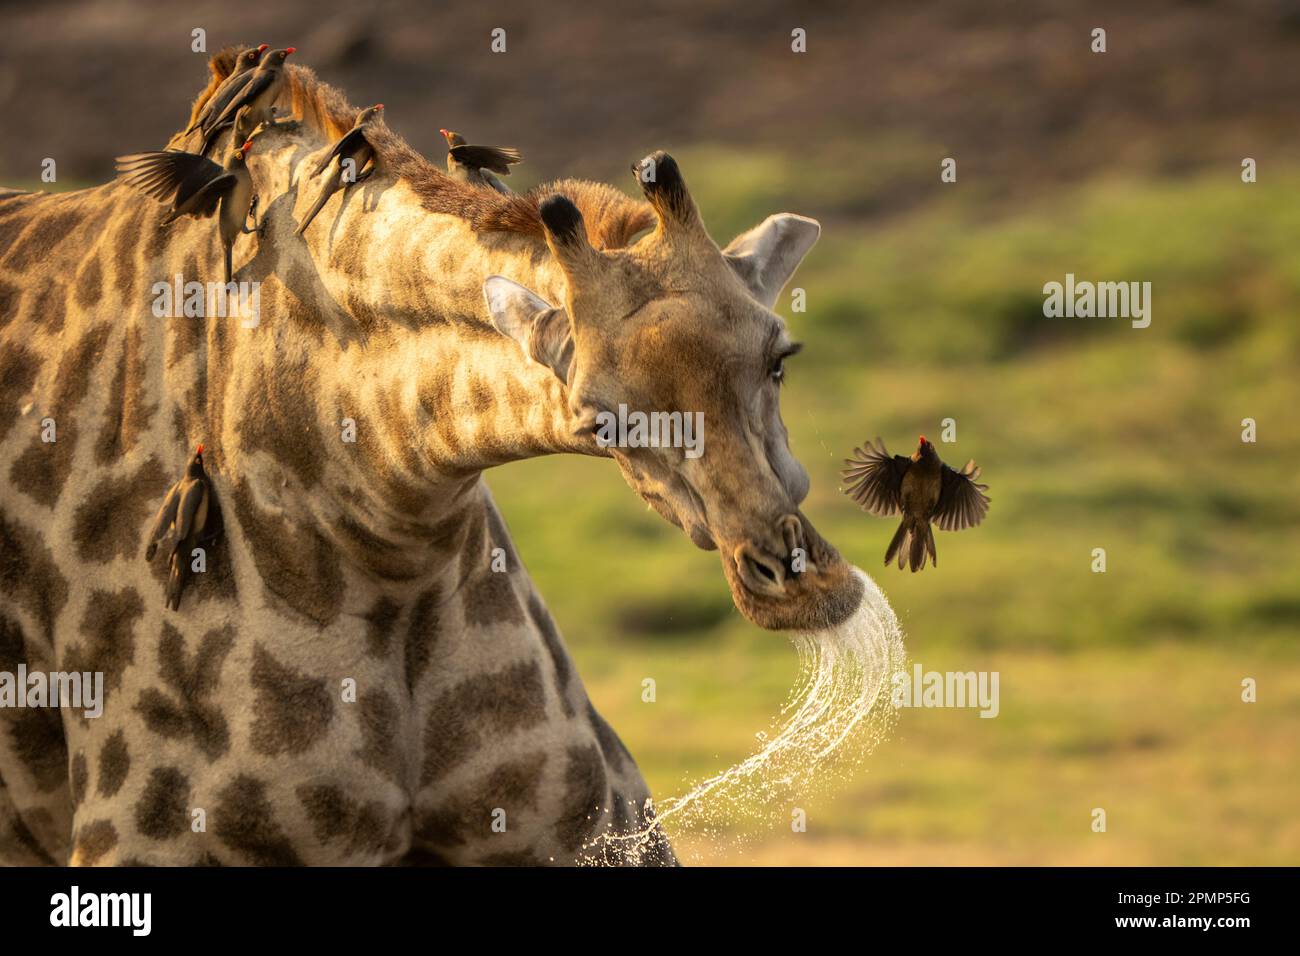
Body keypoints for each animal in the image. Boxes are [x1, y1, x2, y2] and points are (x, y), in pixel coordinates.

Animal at [0, 51, 864, 866]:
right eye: (604, 420)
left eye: (780, 359)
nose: (804, 586)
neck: (390, 528)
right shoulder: (145, 838)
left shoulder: (589, 830)